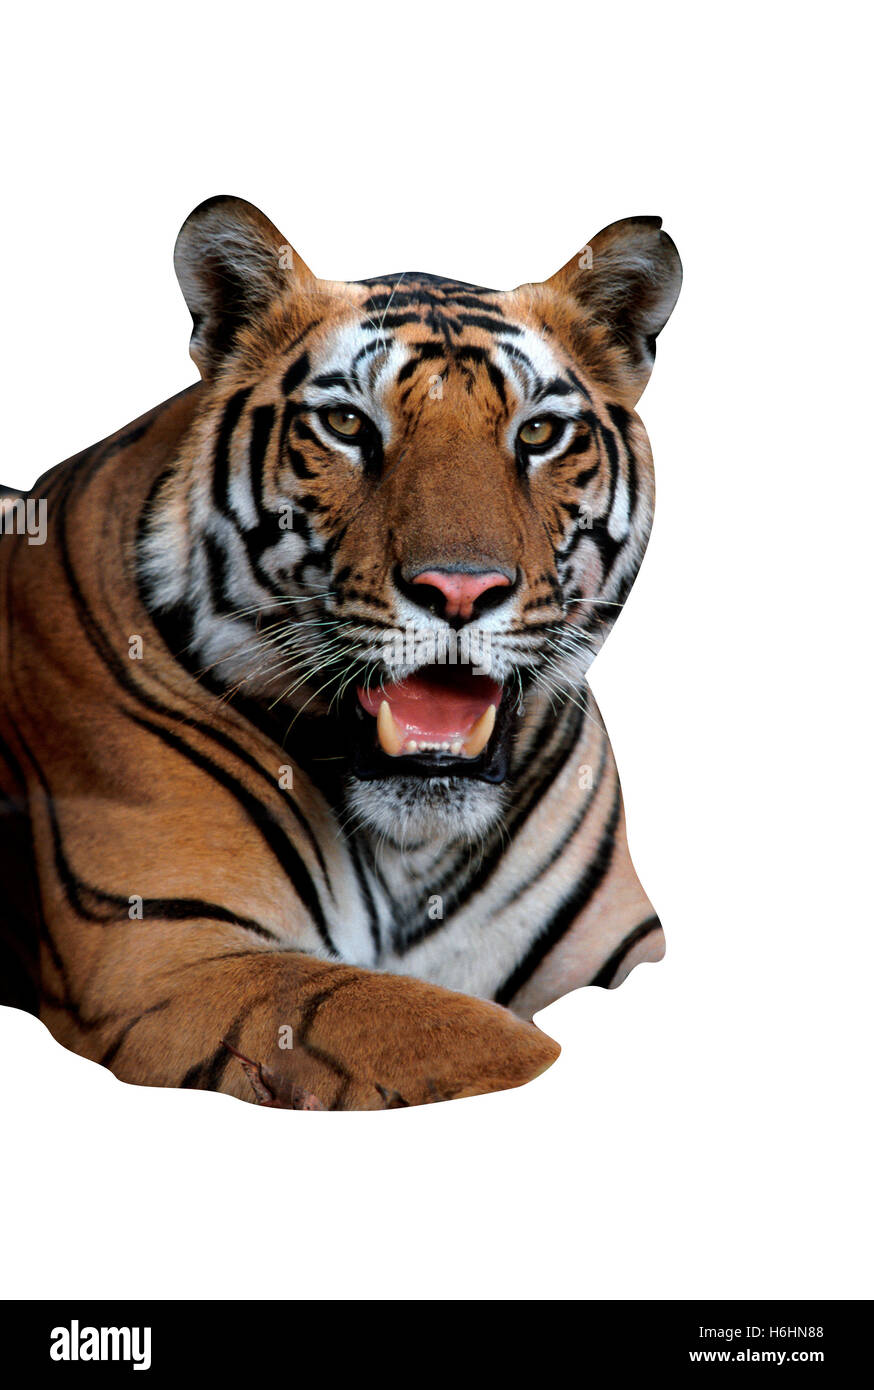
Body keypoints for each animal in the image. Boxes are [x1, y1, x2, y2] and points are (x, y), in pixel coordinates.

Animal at [0, 197, 681, 1110]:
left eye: (538, 433)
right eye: (348, 424)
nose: (460, 590)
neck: (414, 856)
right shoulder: (166, 955)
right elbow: (498, 1046)